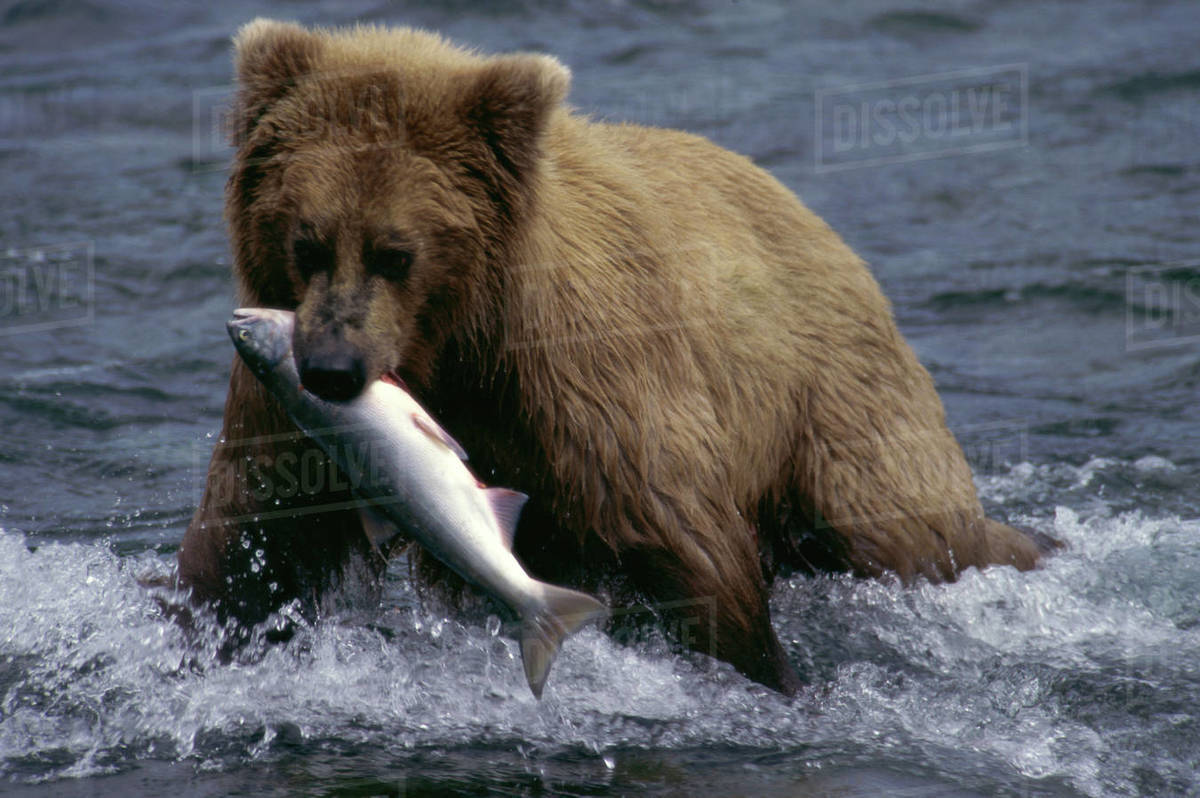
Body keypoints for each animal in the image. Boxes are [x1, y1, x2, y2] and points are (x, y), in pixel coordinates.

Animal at [179, 18, 1050, 695]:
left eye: (398, 251)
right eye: (306, 241)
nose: (332, 370)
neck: (459, 348)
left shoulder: (589, 383)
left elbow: (687, 546)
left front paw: (765, 677)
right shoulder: (285, 417)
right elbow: (249, 546)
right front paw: (204, 642)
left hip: (834, 402)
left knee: (905, 530)